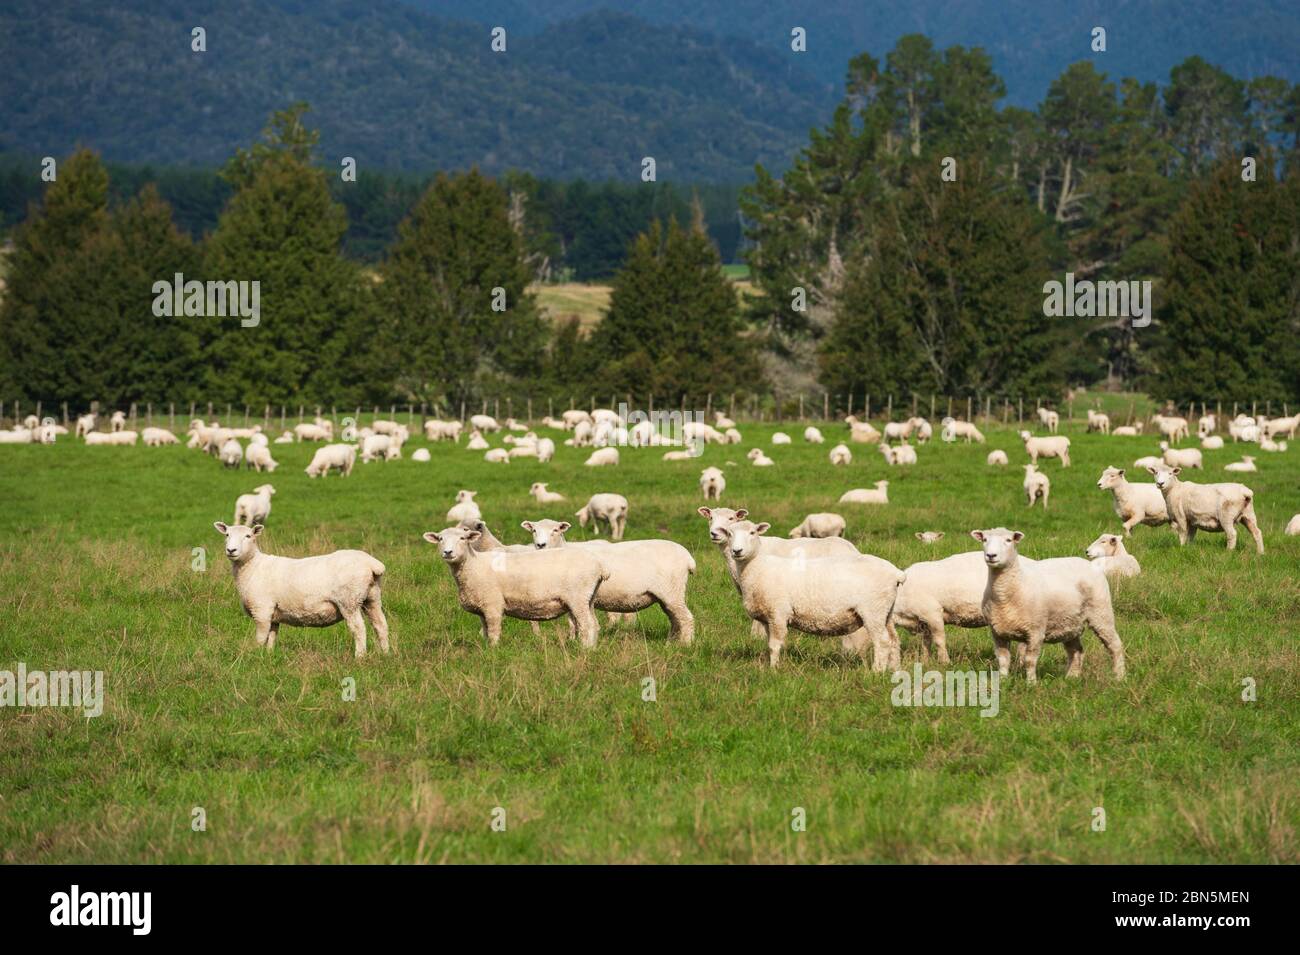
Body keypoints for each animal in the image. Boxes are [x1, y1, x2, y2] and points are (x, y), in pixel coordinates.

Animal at [213, 522, 388, 657]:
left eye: (248, 536)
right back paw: (385, 654)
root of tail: (372, 564)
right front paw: (269, 656)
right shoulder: (274, 614)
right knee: (381, 625)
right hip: (372, 597)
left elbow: (261, 638)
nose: (231, 550)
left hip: (349, 601)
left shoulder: (261, 610)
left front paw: (256, 656)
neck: (252, 566)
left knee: (359, 629)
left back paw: (359, 657)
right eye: (227, 535)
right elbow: (272, 636)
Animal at [424, 526, 606, 647]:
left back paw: (584, 649)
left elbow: (494, 632)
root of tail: (599, 565)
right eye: (440, 539)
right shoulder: (482, 608)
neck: (473, 565)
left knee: (586, 625)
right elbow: (485, 631)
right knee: (594, 624)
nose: (448, 552)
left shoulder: (493, 604)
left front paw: (493, 652)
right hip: (588, 598)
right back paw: (592, 648)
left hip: (577, 597)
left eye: (462, 538)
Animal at [522, 519, 696, 642]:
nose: (540, 545)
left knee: (686, 618)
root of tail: (688, 557)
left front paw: (574, 641)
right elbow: (574, 622)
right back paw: (670, 643)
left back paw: (685, 645)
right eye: (534, 530)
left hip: (672, 590)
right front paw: (574, 640)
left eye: (556, 530)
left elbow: (574, 622)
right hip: (668, 594)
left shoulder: (574, 595)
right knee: (675, 619)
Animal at [718, 519, 904, 669]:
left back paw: (877, 671)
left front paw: (774, 670)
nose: (737, 551)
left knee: (882, 641)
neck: (757, 567)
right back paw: (893, 670)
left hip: (873, 610)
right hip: (886, 611)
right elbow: (769, 644)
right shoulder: (766, 618)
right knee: (893, 640)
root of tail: (896, 573)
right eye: (729, 533)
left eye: (752, 532)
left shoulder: (778, 613)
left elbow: (775, 645)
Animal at [970, 528, 1126, 683]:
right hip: (1070, 622)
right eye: (985, 539)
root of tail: (1089, 564)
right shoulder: (997, 631)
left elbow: (1030, 660)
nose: (991, 555)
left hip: (1101, 612)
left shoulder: (1036, 630)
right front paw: (1002, 680)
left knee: (1115, 645)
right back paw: (1072, 677)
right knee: (1076, 650)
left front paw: (1031, 683)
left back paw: (1119, 676)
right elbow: (1003, 659)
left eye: (1008, 540)